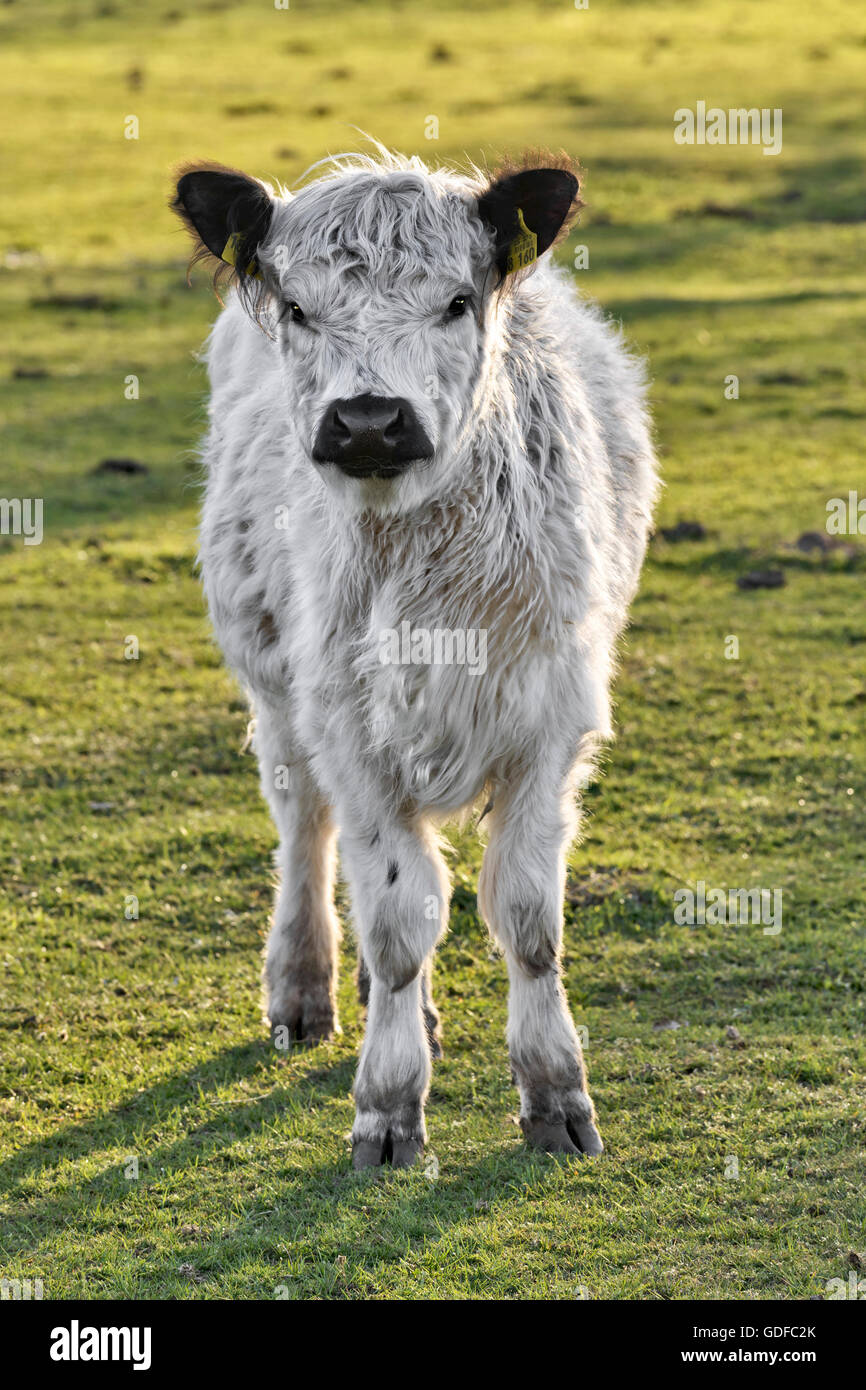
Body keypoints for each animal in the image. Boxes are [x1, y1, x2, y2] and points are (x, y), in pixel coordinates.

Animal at [172, 145, 658, 1168]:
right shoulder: (352, 732)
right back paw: (306, 989)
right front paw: (388, 1106)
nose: (367, 419)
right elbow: (399, 919)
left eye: (456, 302)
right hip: (274, 683)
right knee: (306, 830)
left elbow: (526, 917)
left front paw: (556, 1095)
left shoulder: (548, 722)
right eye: (298, 306)